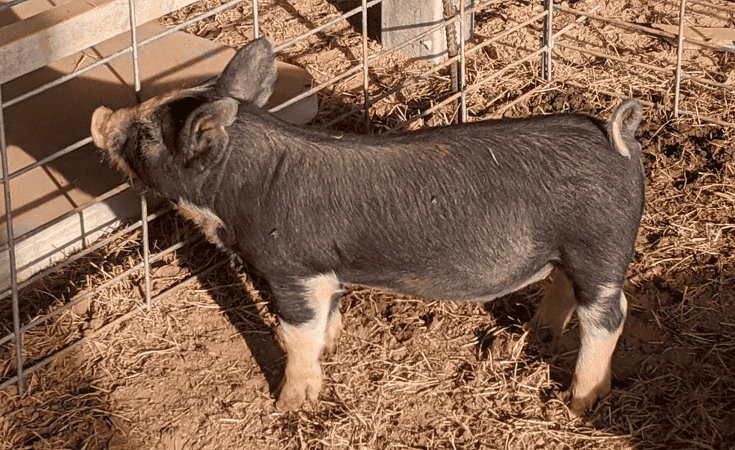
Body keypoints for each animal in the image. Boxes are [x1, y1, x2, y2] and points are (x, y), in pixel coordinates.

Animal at [91, 37, 646, 417]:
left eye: (148, 135)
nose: (100, 115)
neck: (238, 188)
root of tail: (616, 138)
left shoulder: (292, 268)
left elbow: (295, 333)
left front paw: (290, 404)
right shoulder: (326, 271)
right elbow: (326, 317)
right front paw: (333, 343)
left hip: (600, 248)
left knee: (610, 315)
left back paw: (579, 401)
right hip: (568, 251)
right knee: (563, 289)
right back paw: (537, 337)